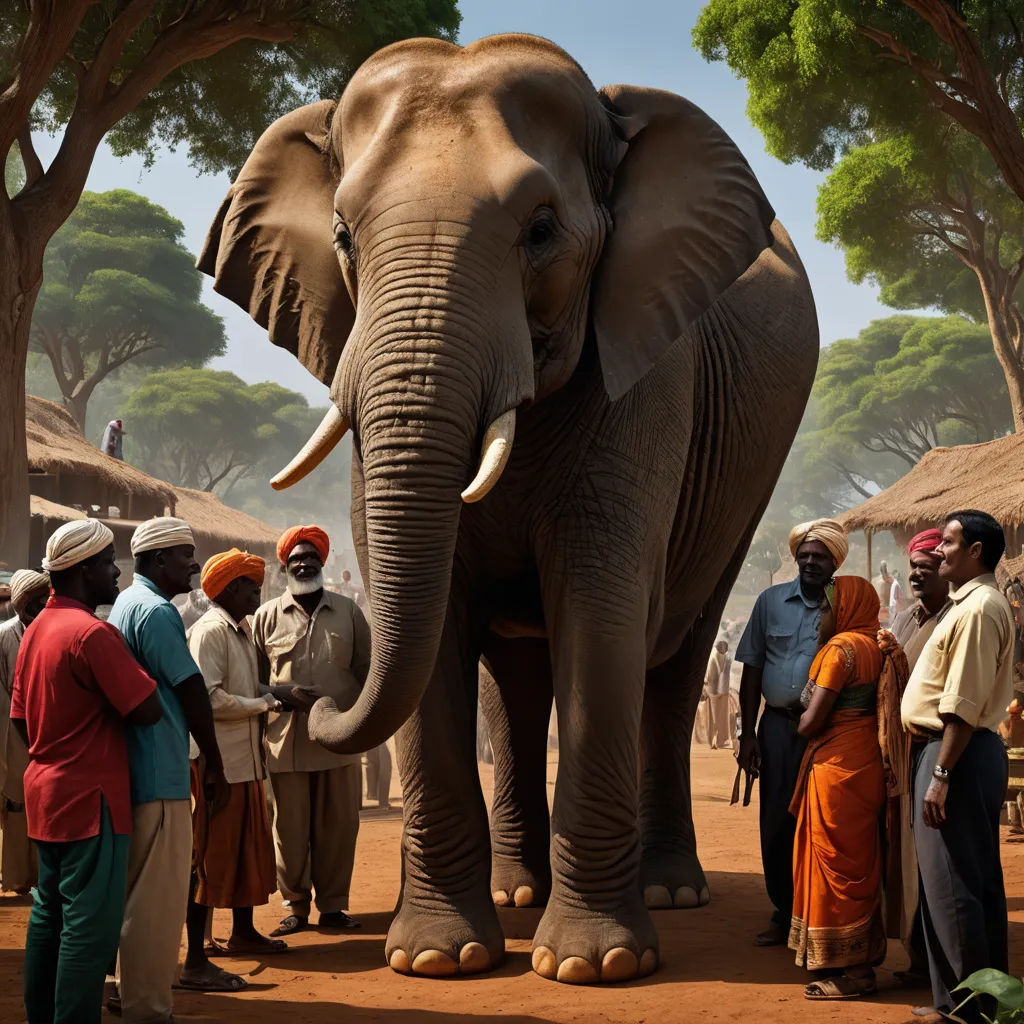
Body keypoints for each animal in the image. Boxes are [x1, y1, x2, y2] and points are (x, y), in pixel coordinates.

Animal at [198, 32, 818, 984]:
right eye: (341, 233)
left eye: (541, 230)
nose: (298, 698)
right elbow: (441, 621)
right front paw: (436, 958)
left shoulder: (646, 360)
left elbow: (602, 615)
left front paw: (596, 965)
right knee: (514, 683)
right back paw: (517, 891)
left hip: (746, 482)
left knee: (675, 656)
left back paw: (671, 890)